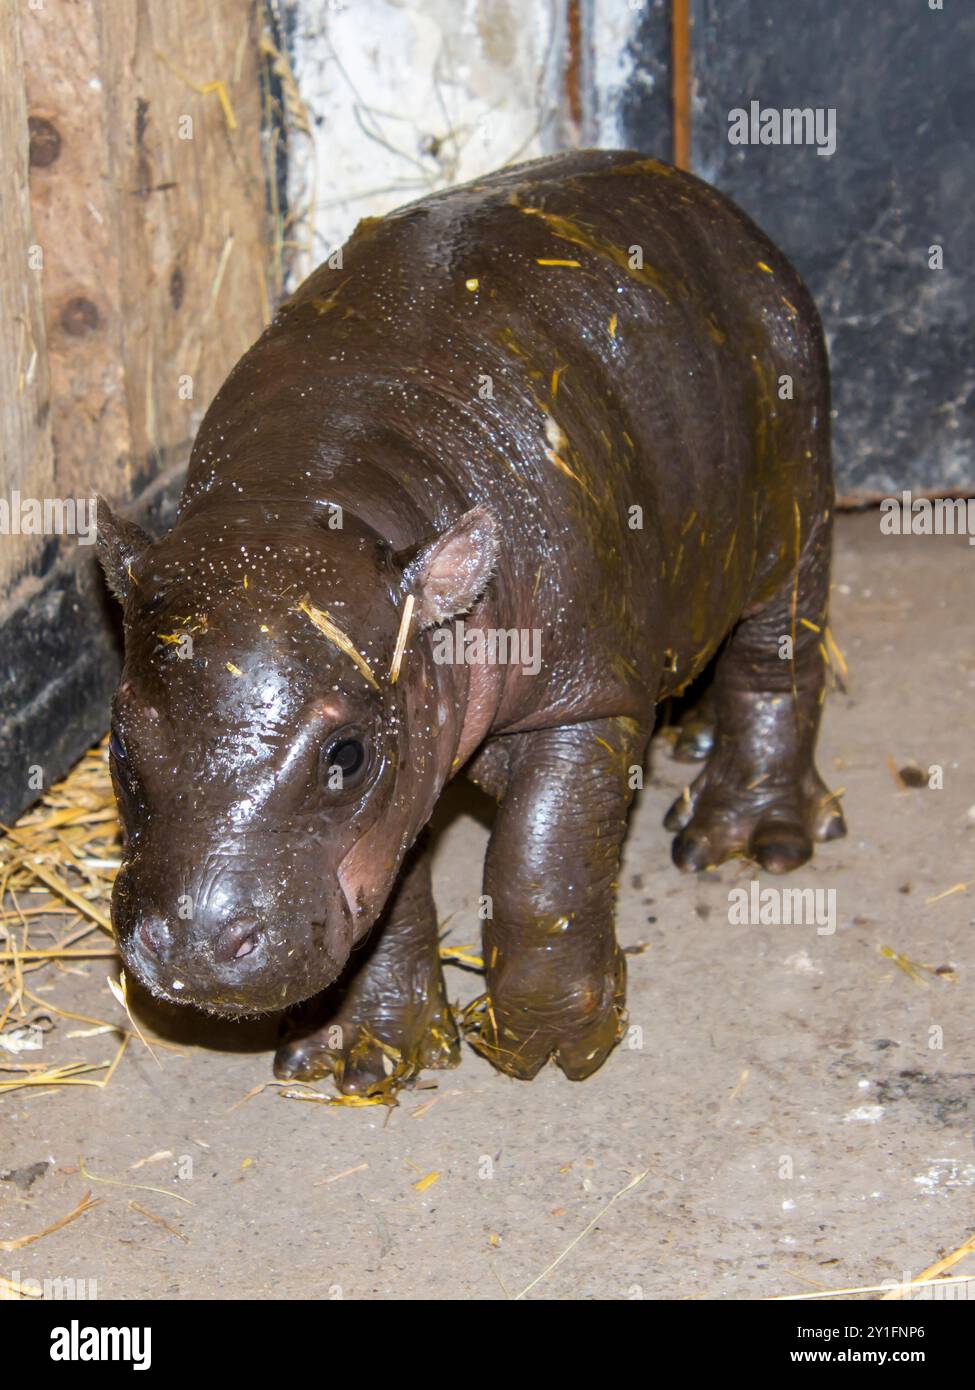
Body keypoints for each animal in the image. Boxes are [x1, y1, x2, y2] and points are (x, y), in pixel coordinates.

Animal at [96, 150, 846, 1094]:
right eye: (121, 745)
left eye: (347, 754)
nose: (196, 942)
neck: (315, 488)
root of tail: (706, 198)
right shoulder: (412, 732)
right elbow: (389, 898)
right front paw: (365, 1057)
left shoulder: (582, 697)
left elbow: (538, 863)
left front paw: (550, 1047)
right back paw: (693, 742)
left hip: (795, 503)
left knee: (776, 656)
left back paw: (740, 837)